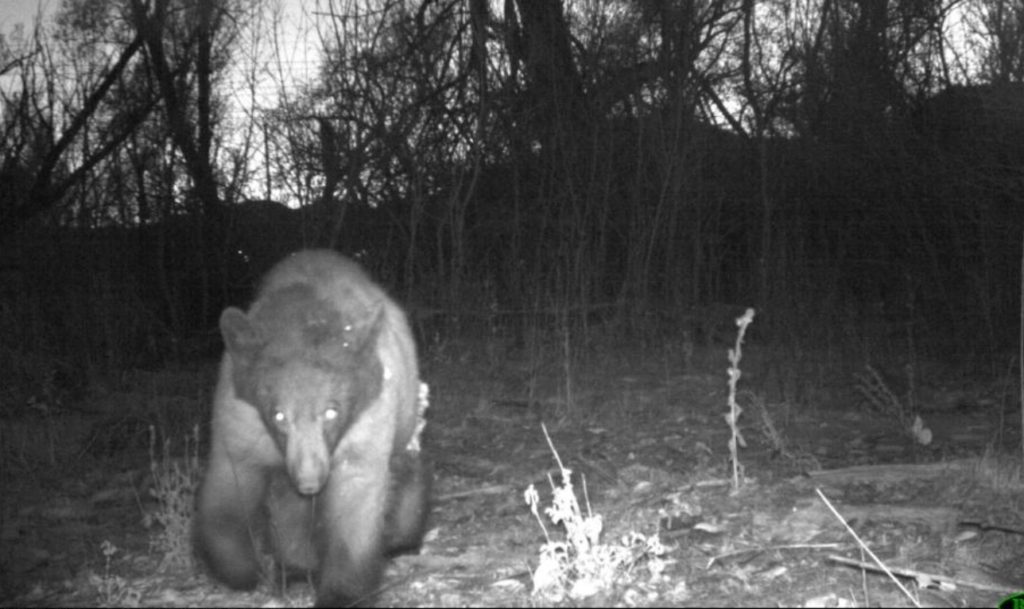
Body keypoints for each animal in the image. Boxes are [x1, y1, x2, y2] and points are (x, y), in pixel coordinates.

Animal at [193, 249, 430, 607]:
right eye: (279, 415)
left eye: (331, 411)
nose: (310, 481)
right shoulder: (240, 419)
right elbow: (227, 492)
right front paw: (243, 569)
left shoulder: (368, 420)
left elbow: (354, 504)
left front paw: (343, 592)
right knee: (287, 503)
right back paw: (296, 569)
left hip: (406, 410)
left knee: (405, 464)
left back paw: (402, 540)